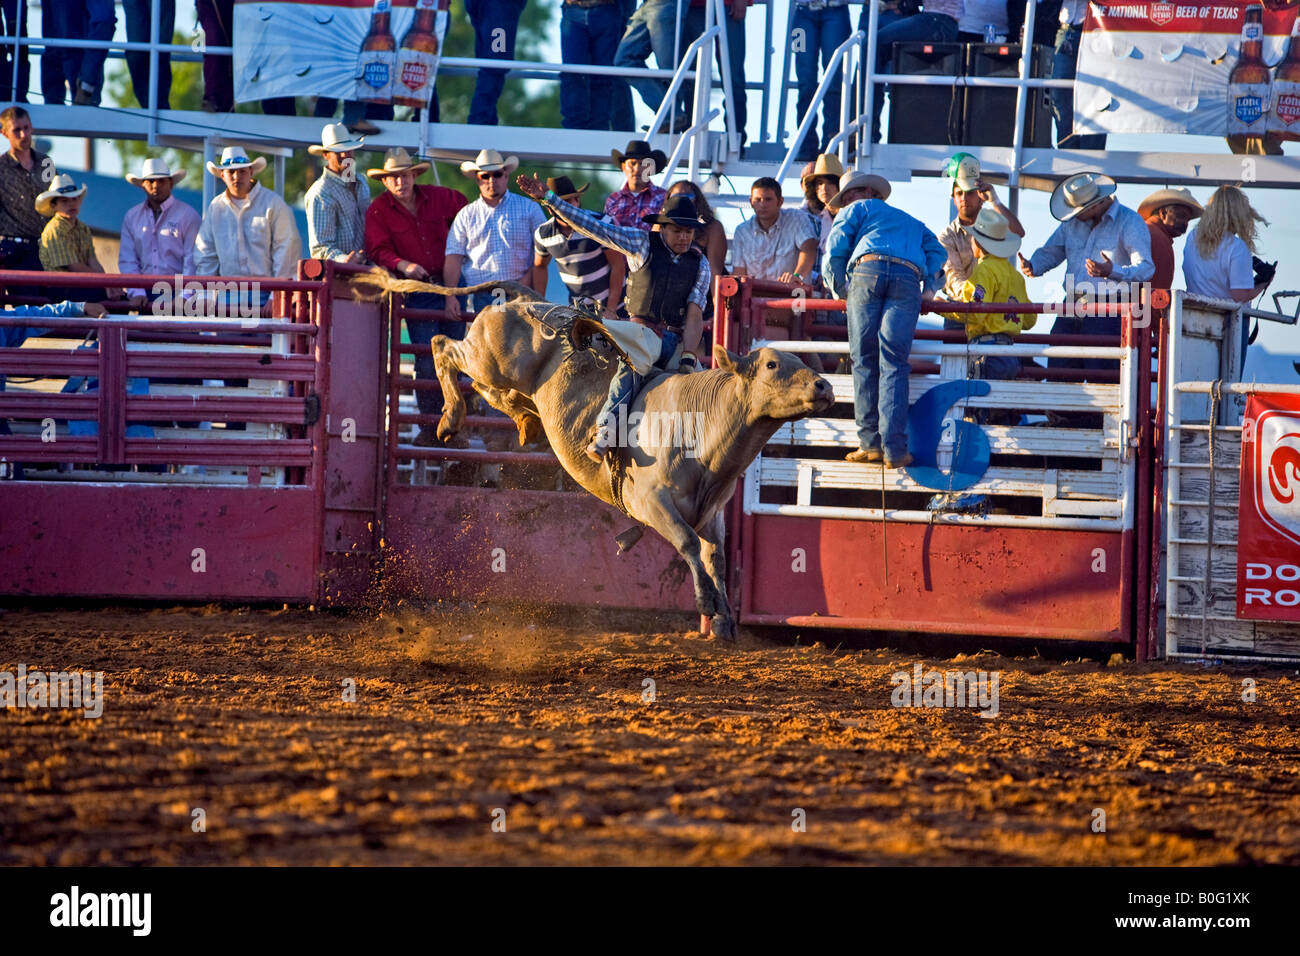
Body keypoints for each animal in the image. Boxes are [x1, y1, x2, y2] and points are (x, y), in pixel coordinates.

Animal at [352, 272, 834, 639]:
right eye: (772, 365)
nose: (825, 385)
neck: (700, 427)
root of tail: (522, 297)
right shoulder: (649, 501)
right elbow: (686, 543)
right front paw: (706, 603)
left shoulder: (713, 512)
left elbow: (713, 555)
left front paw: (724, 621)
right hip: (487, 358)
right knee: (442, 345)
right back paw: (450, 417)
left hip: (504, 376)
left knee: (492, 390)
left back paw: (522, 419)